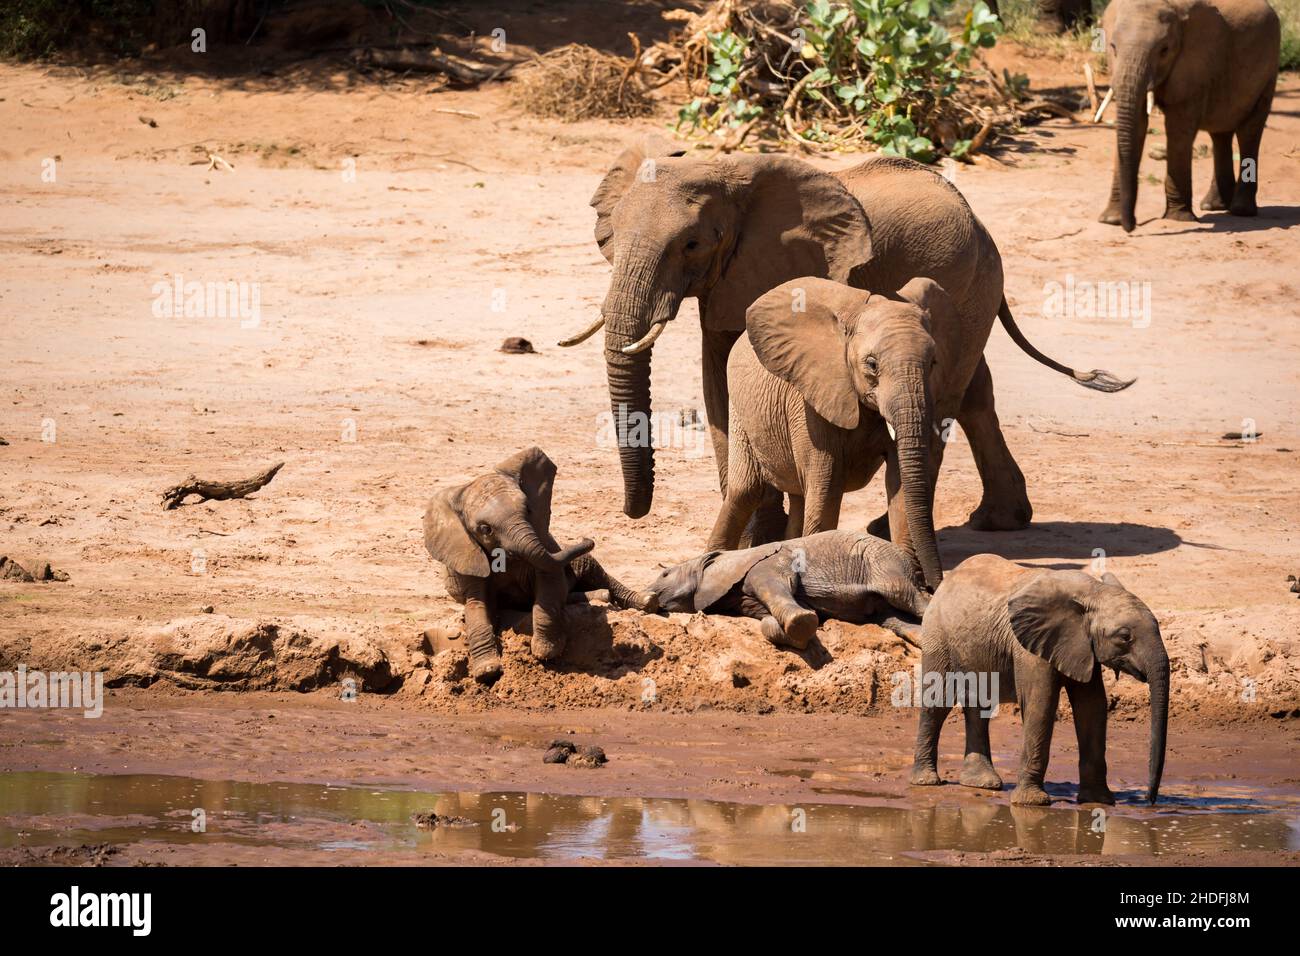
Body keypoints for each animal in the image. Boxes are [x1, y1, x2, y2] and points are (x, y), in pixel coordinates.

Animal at [423, 447, 655, 683]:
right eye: (485, 529)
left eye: (528, 510)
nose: (587, 539)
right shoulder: (467, 557)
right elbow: (476, 606)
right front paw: (487, 671)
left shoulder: (544, 538)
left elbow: (550, 584)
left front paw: (545, 651)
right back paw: (599, 597)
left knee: (594, 571)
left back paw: (644, 600)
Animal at [643, 530, 930, 650]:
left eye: (665, 574)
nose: (647, 594)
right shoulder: (741, 599)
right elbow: (765, 618)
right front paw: (800, 632)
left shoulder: (767, 565)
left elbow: (774, 587)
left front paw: (802, 623)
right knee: (896, 621)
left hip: (886, 566)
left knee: (912, 599)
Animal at [708, 275, 971, 589]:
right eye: (872, 365)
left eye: (933, 363)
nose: (934, 585)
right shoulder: (811, 402)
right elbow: (827, 487)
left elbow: (899, 484)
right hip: (740, 408)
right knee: (746, 492)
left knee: (798, 496)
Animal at [908, 554, 1169, 806]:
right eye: (1125, 637)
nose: (1150, 800)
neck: (1092, 591)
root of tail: (943, 584)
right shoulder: (1029, 647)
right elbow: (1040, 704)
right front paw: (1032, 803)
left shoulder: (1082, 646)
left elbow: (1092, 707)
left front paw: (1099, 801)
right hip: (937, 634)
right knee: (938, 703)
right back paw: (926, 781)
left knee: (980, 706)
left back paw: (981, 783)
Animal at [1098, 0, 1280, 231]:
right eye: (1112, 47)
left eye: (1164, 50)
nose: (1132, 226)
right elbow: (1138, 123)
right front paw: (1110, 221)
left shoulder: (1194, 66)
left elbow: (1178, 127)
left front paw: (1178, 219)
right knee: (1220, 133)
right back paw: (1213, 206)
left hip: (1269, 71)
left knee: (1249, 131)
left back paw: (1240, 210)